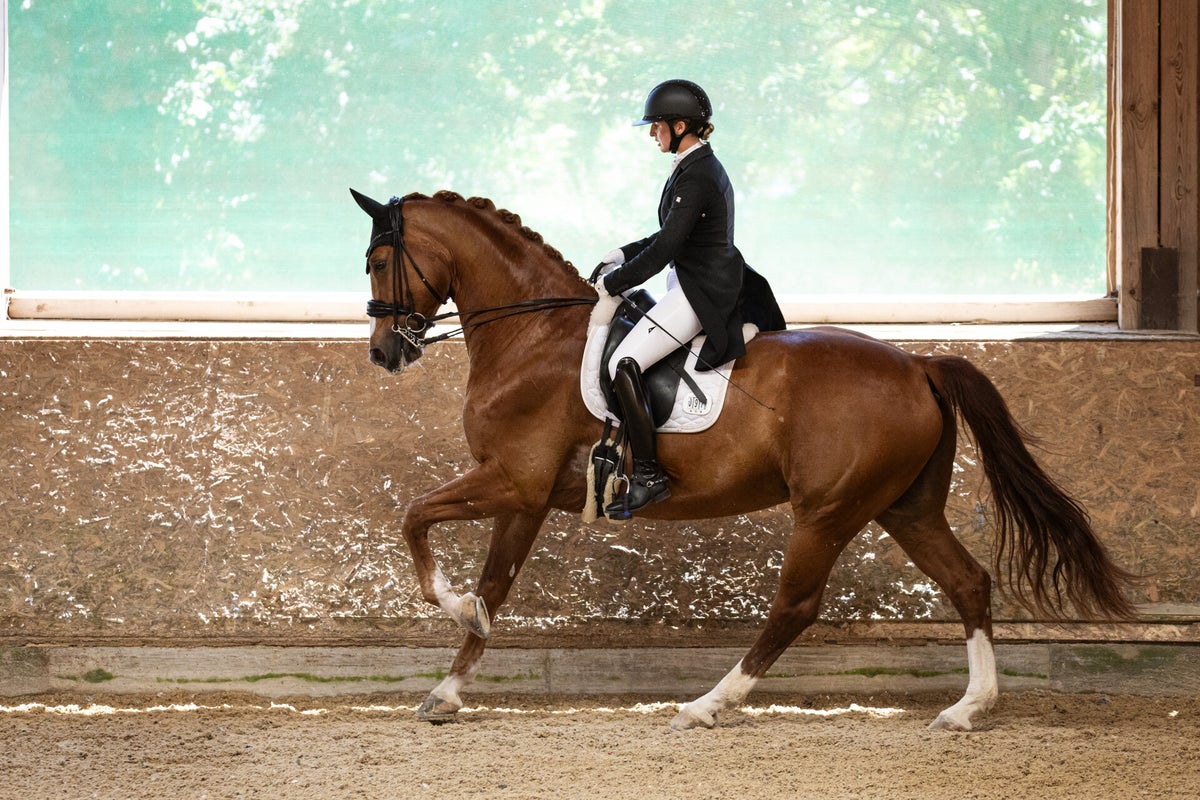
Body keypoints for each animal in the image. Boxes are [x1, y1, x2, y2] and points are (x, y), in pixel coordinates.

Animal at [349, 187, 1135, 731]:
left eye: (379, 261)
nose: (385, 352)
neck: (532, 335)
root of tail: (917, 363)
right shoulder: (529, 495)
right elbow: (496, 582)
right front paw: (449, 684)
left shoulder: (511, 480)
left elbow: (413, 518)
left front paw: (456, 609)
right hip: (904, 507)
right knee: (968, 583)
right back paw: (969, 709)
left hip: (828, 511)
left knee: (796, 606)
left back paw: (706, 705)